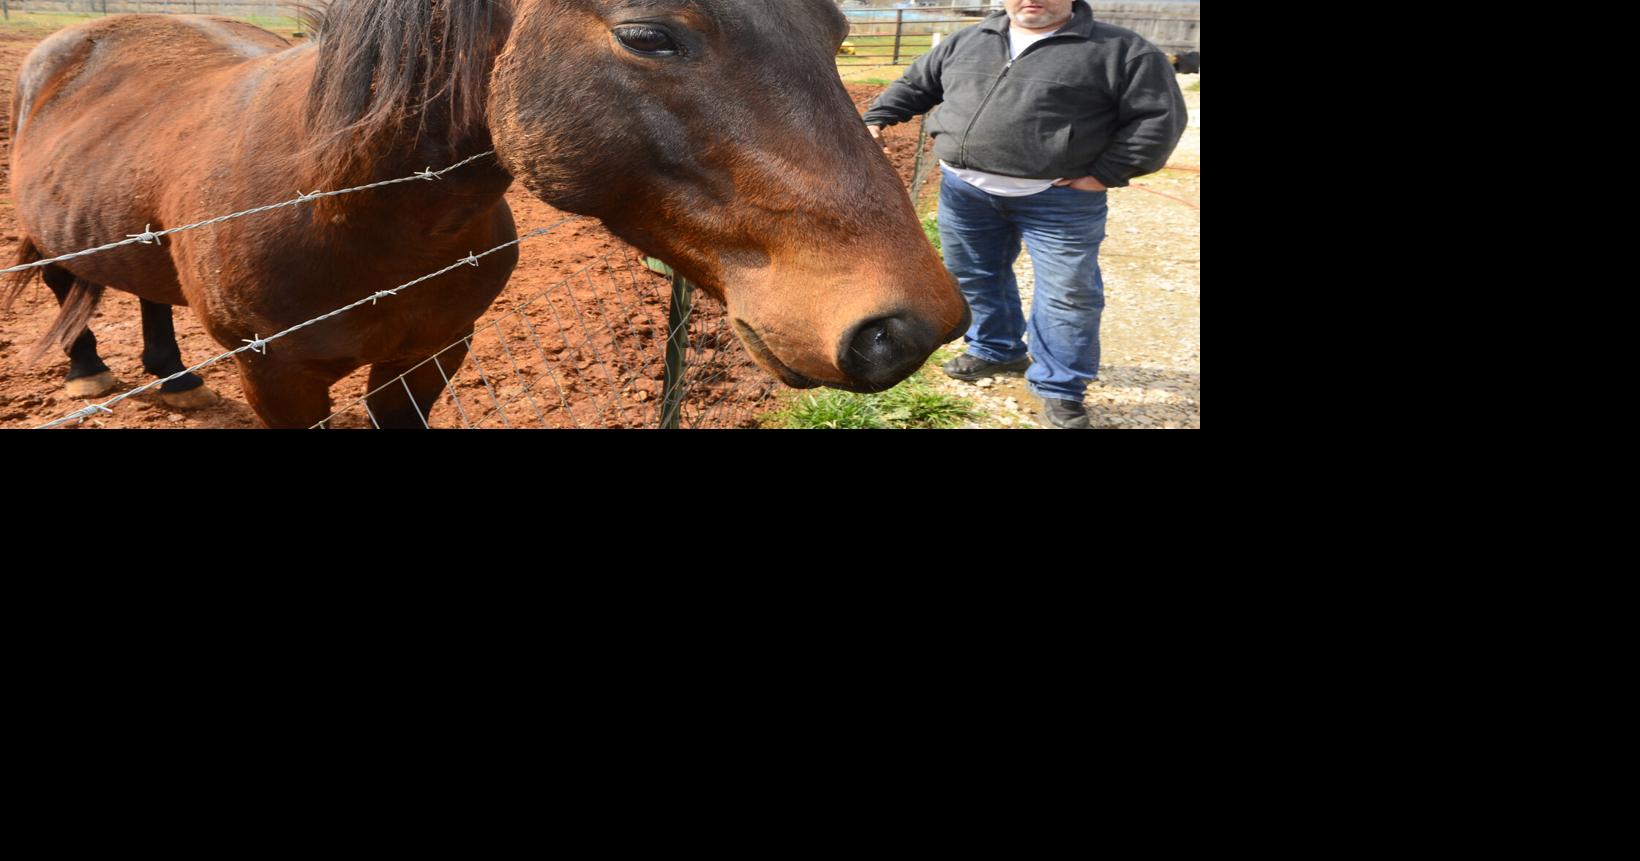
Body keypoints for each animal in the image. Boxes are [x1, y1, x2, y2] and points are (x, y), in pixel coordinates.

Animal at [4, 0, 969, 428]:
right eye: (647, 35)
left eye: (836, 27)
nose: (910, 326)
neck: (347, 212)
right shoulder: (277, 376)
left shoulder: (433, 356)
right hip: (49, 233)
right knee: (67, 286)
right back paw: (91, 372)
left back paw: (171, 374)